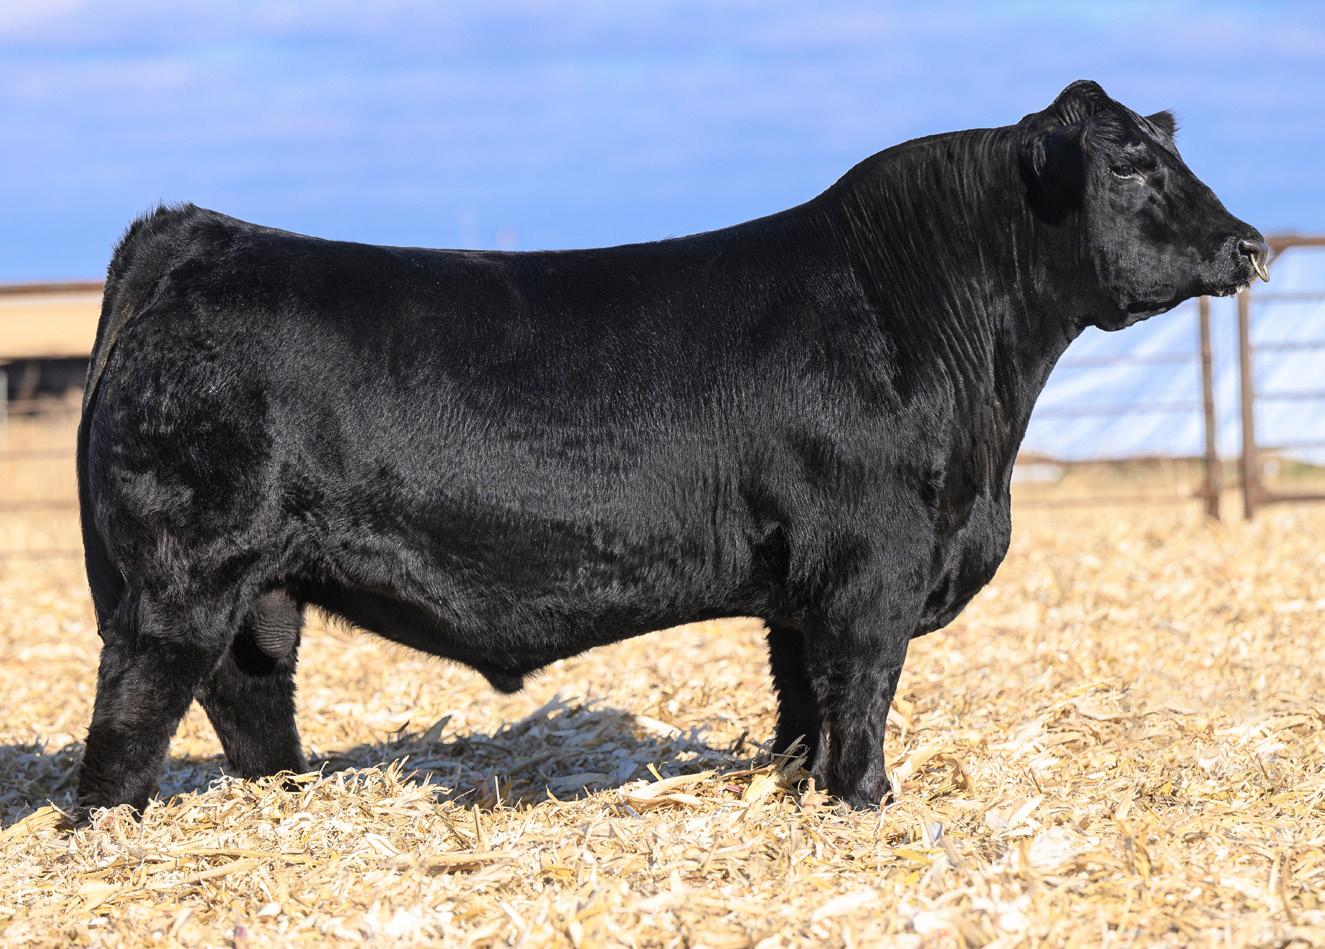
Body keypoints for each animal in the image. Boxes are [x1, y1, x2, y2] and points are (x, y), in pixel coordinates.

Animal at [74, 80, 1266, 819]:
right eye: (1126, 163)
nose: (1249, 241)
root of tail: (198, 232)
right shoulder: (871, 561)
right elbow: (862, 686)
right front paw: (867, 802)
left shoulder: (801, 586)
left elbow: (803, 701)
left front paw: (804, 790)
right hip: (182, 574)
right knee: (133, 707)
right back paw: (110, 828)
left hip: (264, 591)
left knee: (248, 698)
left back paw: (285, 797)